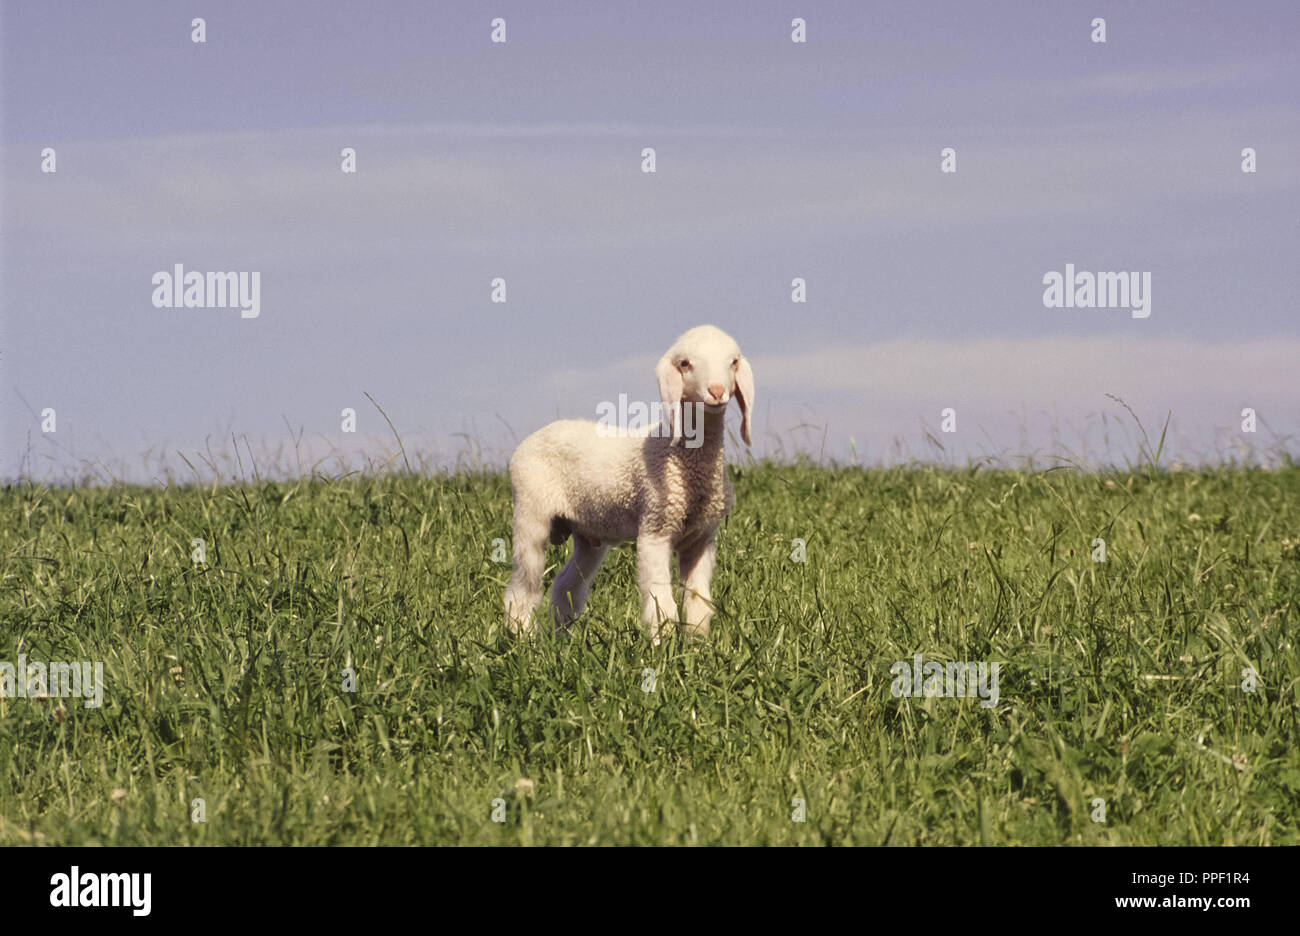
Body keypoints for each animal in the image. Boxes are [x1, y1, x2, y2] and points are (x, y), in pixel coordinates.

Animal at [504, 325, 754, 643]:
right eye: (685, 363)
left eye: (733, 362)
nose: (717, 392)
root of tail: (533, 436)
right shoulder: (654, 530)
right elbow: (662, 603)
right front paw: (663, 645)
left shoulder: (702, 539)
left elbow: (698, 602)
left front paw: (697, 645)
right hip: (531, 512)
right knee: (524, 585)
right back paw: (522, 638)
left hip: (588, 535)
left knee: (565, 585)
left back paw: (563, 639)